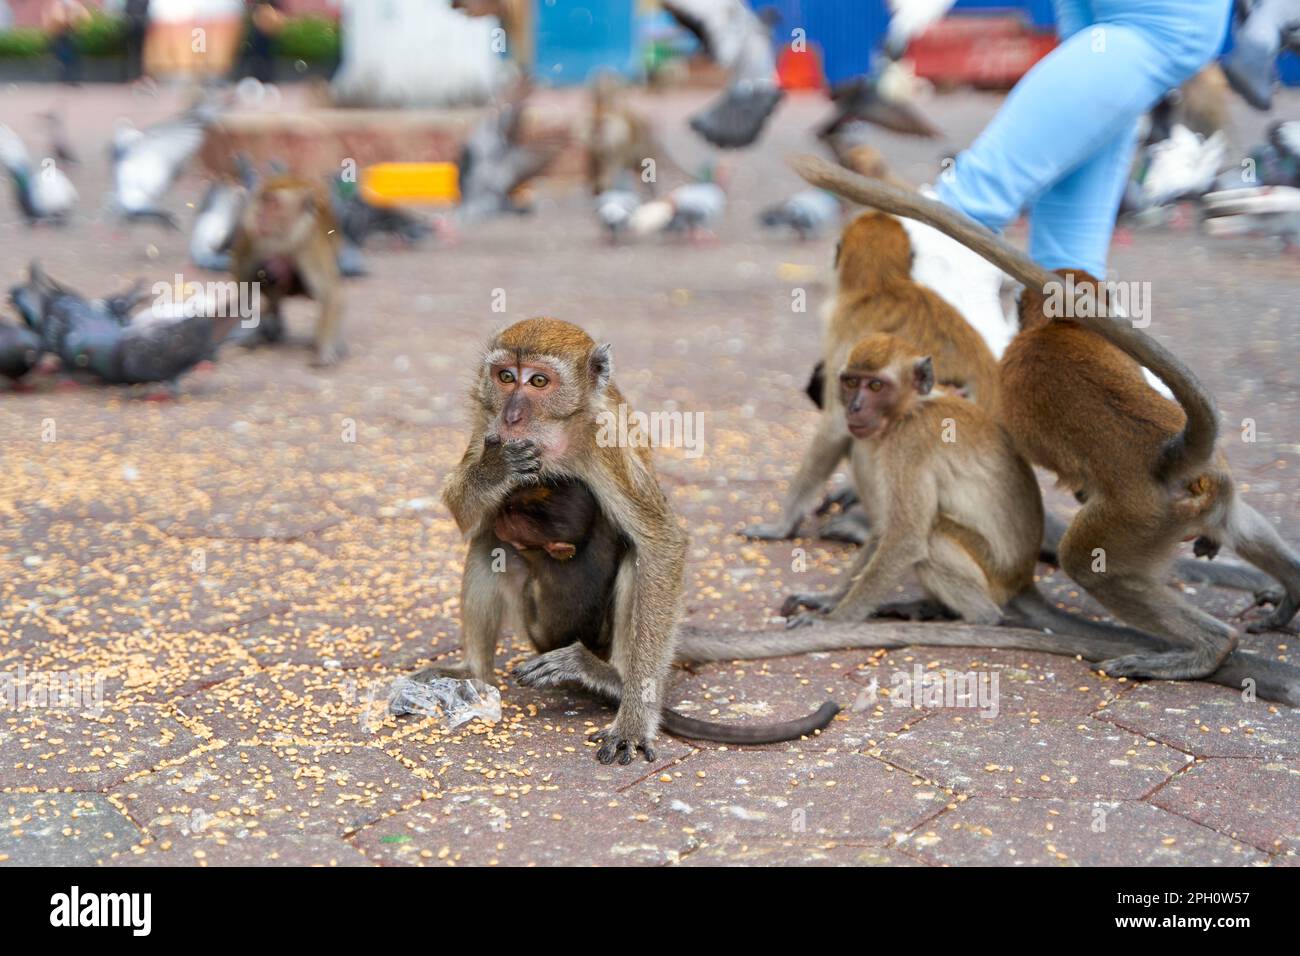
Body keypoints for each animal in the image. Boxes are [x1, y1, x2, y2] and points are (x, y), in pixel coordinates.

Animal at [230, 175, 344, 367]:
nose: (261, 215)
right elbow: (245, 282)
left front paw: (324, 349)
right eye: (264, 200)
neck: (282, 237)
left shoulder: (309, 241)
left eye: (273, 203)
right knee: (268, 273)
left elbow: (330, 293)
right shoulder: (252, 235)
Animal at [426, 318, 838, 764]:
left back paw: (605, 677)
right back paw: (474, 672)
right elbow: (465, 515)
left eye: (538, 381)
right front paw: (493, 470)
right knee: (488, 541)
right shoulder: (486, 425)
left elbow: (661, 544)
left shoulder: (607, 445)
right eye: (505, 377)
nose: (512, 416)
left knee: (634, 561)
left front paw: (635, 720)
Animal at [779, 155, 1300, 686]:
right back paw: (1287, 595)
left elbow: (897, 522)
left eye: (872, 388)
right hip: (1214, 488)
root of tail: (1172, 454)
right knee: (1242, 523)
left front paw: (824, 607)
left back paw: (1207, 649)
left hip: (1133, 519)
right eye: (854, 386)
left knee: (1078, 563)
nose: (858, 405)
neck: (1060, 326)